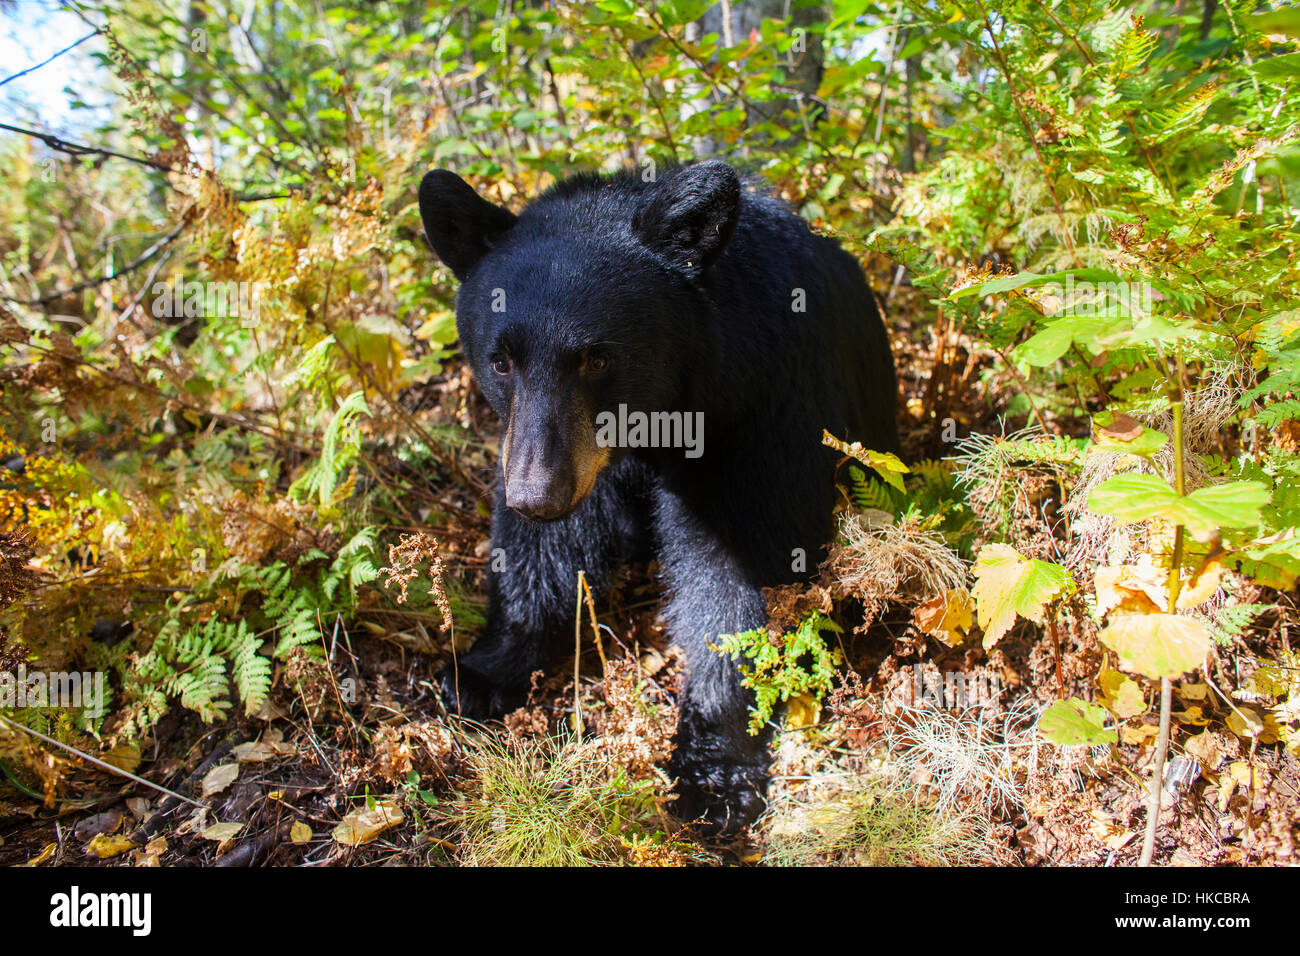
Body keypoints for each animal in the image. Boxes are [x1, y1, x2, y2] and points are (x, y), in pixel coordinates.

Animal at [418, 161, 898, 833]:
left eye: (596, 358)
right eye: (501, 360)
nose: (537, 495)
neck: (660, 423)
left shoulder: (762, 410)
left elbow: (743, 579)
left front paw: (712, 770)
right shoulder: (557, 453)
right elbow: (545, 551)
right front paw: (483, 671)